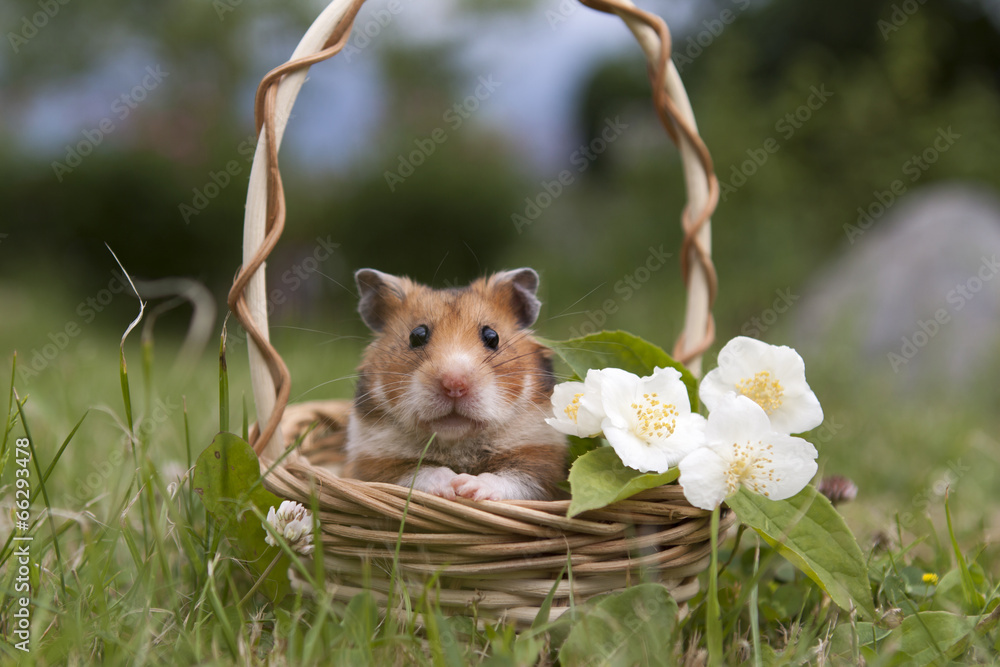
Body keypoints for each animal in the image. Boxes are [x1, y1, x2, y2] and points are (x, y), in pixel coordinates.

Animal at [342, 268, 568, 501]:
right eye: (416, 335)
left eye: (492, 336)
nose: (454, 385)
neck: (458, 443)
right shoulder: (377, 466)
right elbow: (422, 472)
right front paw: (452, 486)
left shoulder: (542, 468)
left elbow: (508, 479)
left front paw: (468, 487)